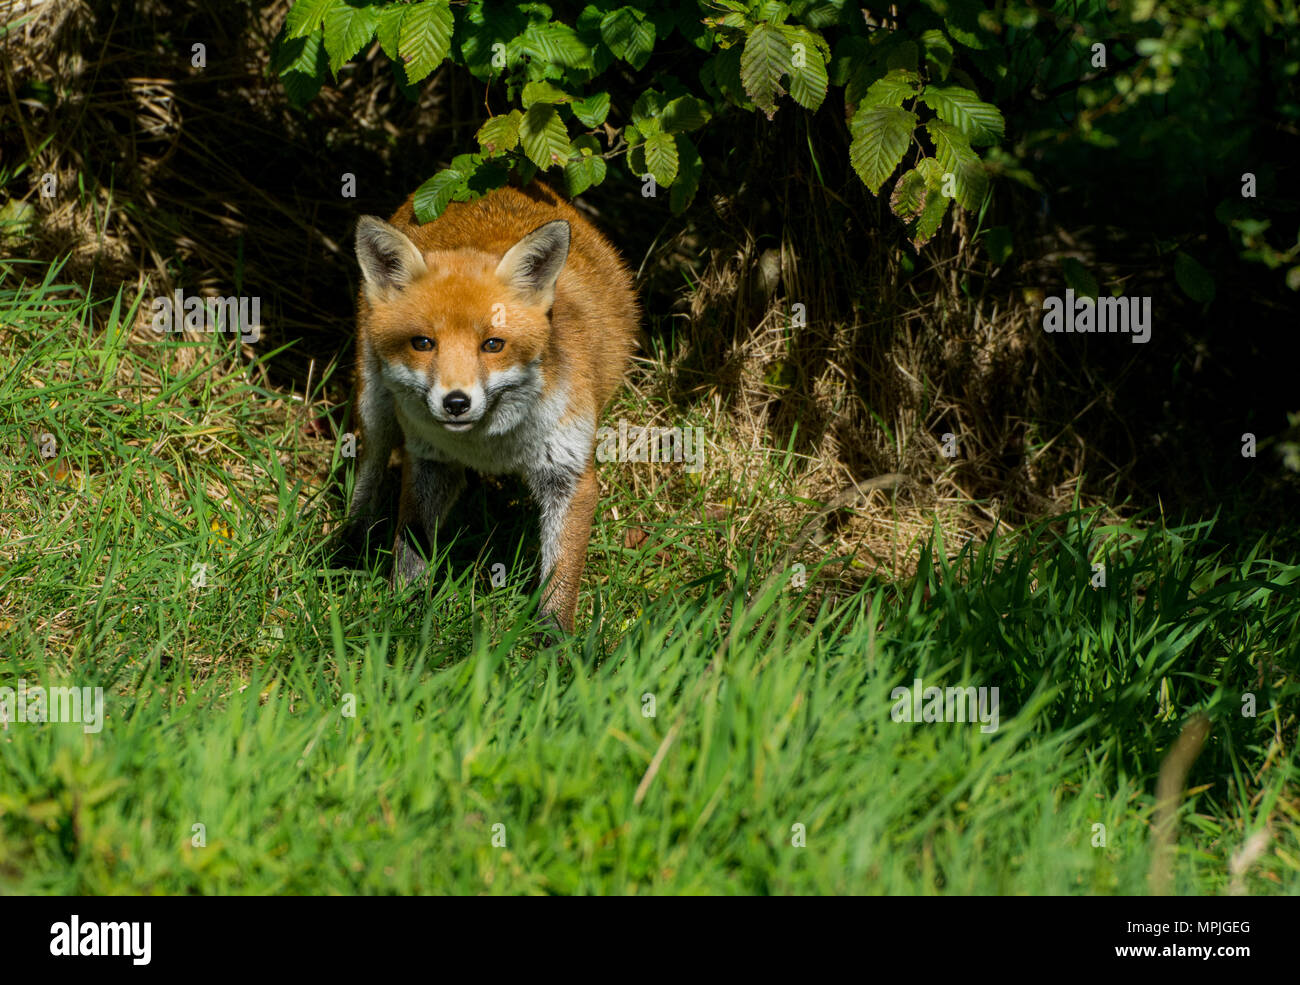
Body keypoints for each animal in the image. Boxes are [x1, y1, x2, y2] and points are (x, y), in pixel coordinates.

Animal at [342, 183, 638, 634]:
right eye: (423, 343)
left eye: (493, 345)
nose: (456, 403)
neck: (488, 445)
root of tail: (508, 182)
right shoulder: (427, 459)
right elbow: (410, 549)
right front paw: (402, 614)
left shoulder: (569, 474)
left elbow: (561, 581)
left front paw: (554, 642)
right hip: (374, 409)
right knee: (368, 477)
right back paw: (349, 546)